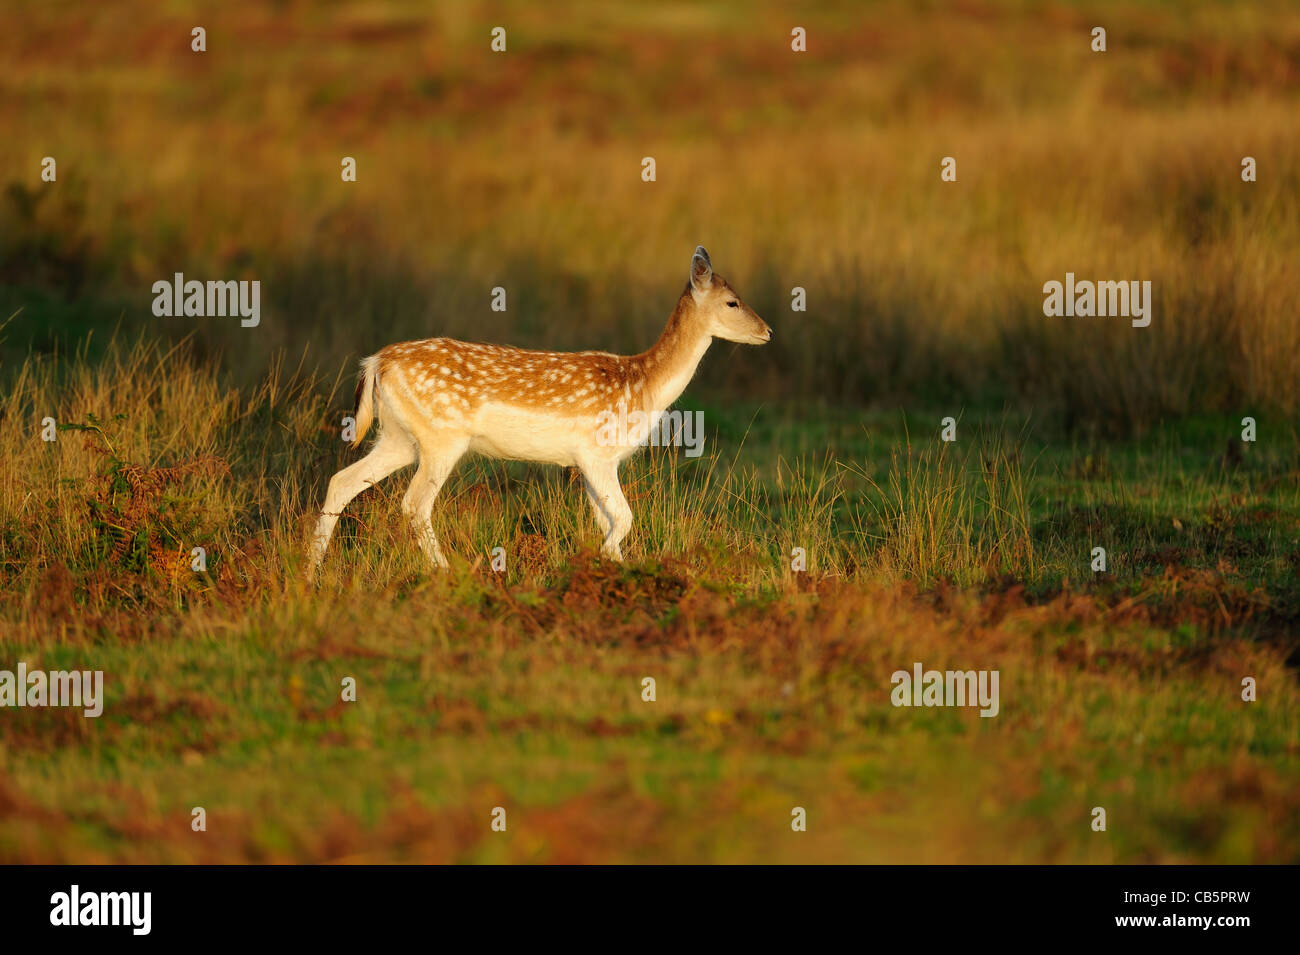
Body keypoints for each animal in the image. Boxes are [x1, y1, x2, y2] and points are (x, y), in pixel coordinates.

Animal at [307, 246, 771, 577]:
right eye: (732, 301)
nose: (768, 331)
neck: (643, 386)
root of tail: (375, 363)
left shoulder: (588, 464)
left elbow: (608, 523)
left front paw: (613, 570)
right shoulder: (596, 454)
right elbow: (623, 520)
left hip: (399, 437)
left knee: (342, 481)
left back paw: (311, 573)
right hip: (442, 437)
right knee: (414, 503)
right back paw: (446, 570)